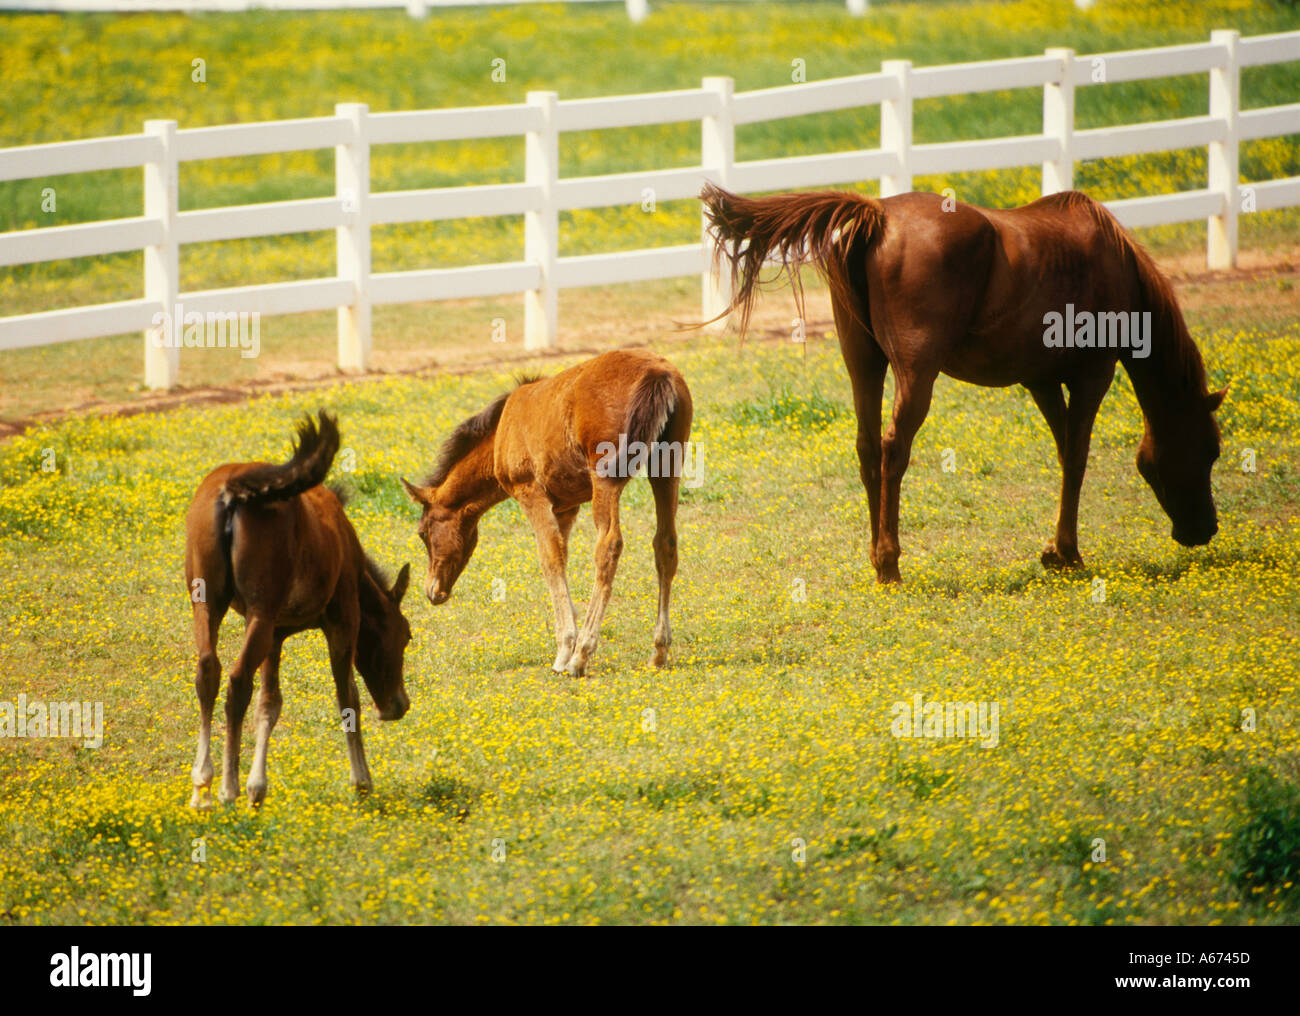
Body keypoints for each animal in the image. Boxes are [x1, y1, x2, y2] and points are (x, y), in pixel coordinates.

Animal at [184, 411, 412, 808]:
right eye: (405, 636)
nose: (399, 704)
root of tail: (234, 491)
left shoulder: (275, 633)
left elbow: (269, 703)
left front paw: (257, 787)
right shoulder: (342, 619)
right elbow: (347, 696)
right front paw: (361, 781)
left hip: (208, 604)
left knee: (208, 671)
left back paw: (202, 786)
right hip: (259, 610)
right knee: (237, 681)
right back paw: (226, 787)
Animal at [402, 349, 693, 677]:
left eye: (423, 533)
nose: (432, 591)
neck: (502, 429)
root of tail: (657, 372)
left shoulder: (530, 492)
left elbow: (550, 558)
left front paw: (566, 650)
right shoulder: (566, 506)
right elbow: (562, 556)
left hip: (605, 477)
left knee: (609, 547)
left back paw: (582, 655)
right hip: (667, 467)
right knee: (665, 545)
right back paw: (658, 651)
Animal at [700, 183, 1226, 584]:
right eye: (1210, 449)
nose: (1203, 529)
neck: (1115, 264)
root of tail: (879, 215)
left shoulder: (1041, 382)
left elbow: (1063, 453)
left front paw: (1055, 550)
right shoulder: (1092, 376)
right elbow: (1077, 458)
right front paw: (1068, 552)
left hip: (864, 364)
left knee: (868, 448)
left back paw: (875, 556)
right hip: (916, 374)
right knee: (894, 448)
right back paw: (889, 562)